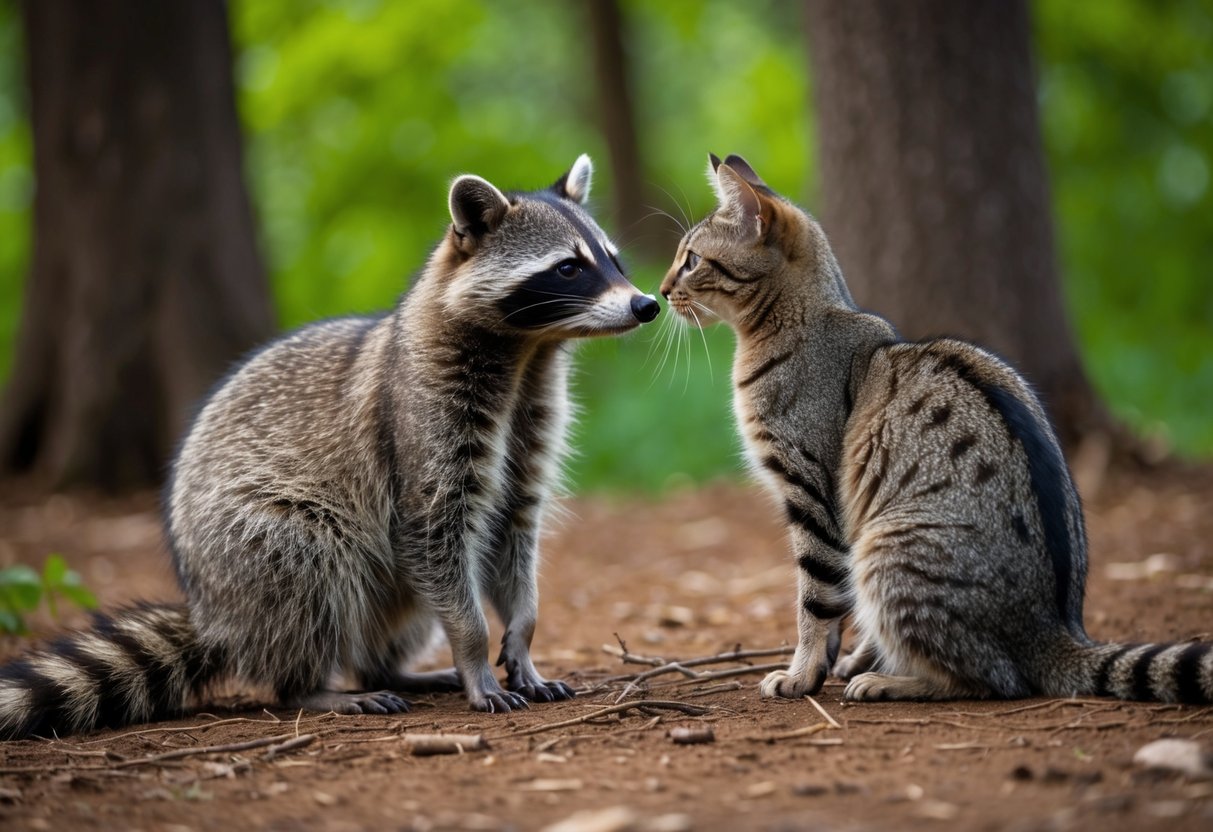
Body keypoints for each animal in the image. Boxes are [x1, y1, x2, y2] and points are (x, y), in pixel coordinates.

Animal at [0, 156, 661, 738]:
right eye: (569, 268)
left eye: (613, 260)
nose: (646, 303)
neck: (528, 352)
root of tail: (215, 615)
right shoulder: (421, 421)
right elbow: (434, 533)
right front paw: (475, 653)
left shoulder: (531, 425)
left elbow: (514, 531)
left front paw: (523, 640)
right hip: (252, 544)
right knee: (312, 567)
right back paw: (313, 687)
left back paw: (385, 667)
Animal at [660, 153, 1211, 704]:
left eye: (691, 260)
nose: (662, 291)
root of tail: (1056, 631)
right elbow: (842, 611)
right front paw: (840, 661)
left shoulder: (812, 492)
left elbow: (816, 602)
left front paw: (802, 674)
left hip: (885, 546)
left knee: (991, 680)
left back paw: (887, 681)